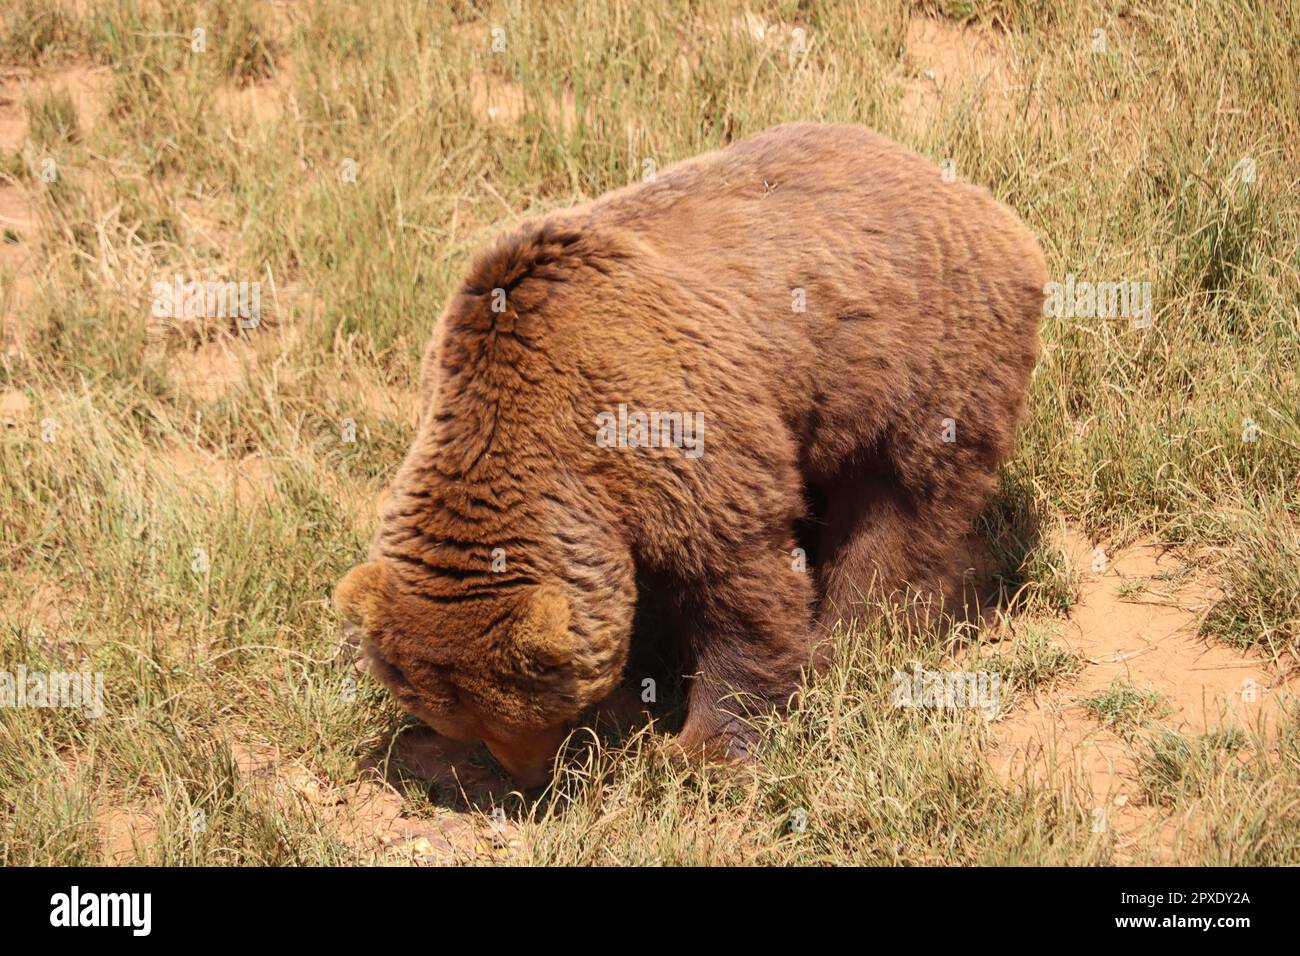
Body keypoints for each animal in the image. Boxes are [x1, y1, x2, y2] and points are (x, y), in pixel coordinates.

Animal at [335, 122, 1045, 788]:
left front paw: (704, 746)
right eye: (463, 725)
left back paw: (853, 638)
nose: (531, 777)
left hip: (923, 355)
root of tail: (984, 203)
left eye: (519, 718)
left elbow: (737, 579)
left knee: (902, 510)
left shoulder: (670, 418)